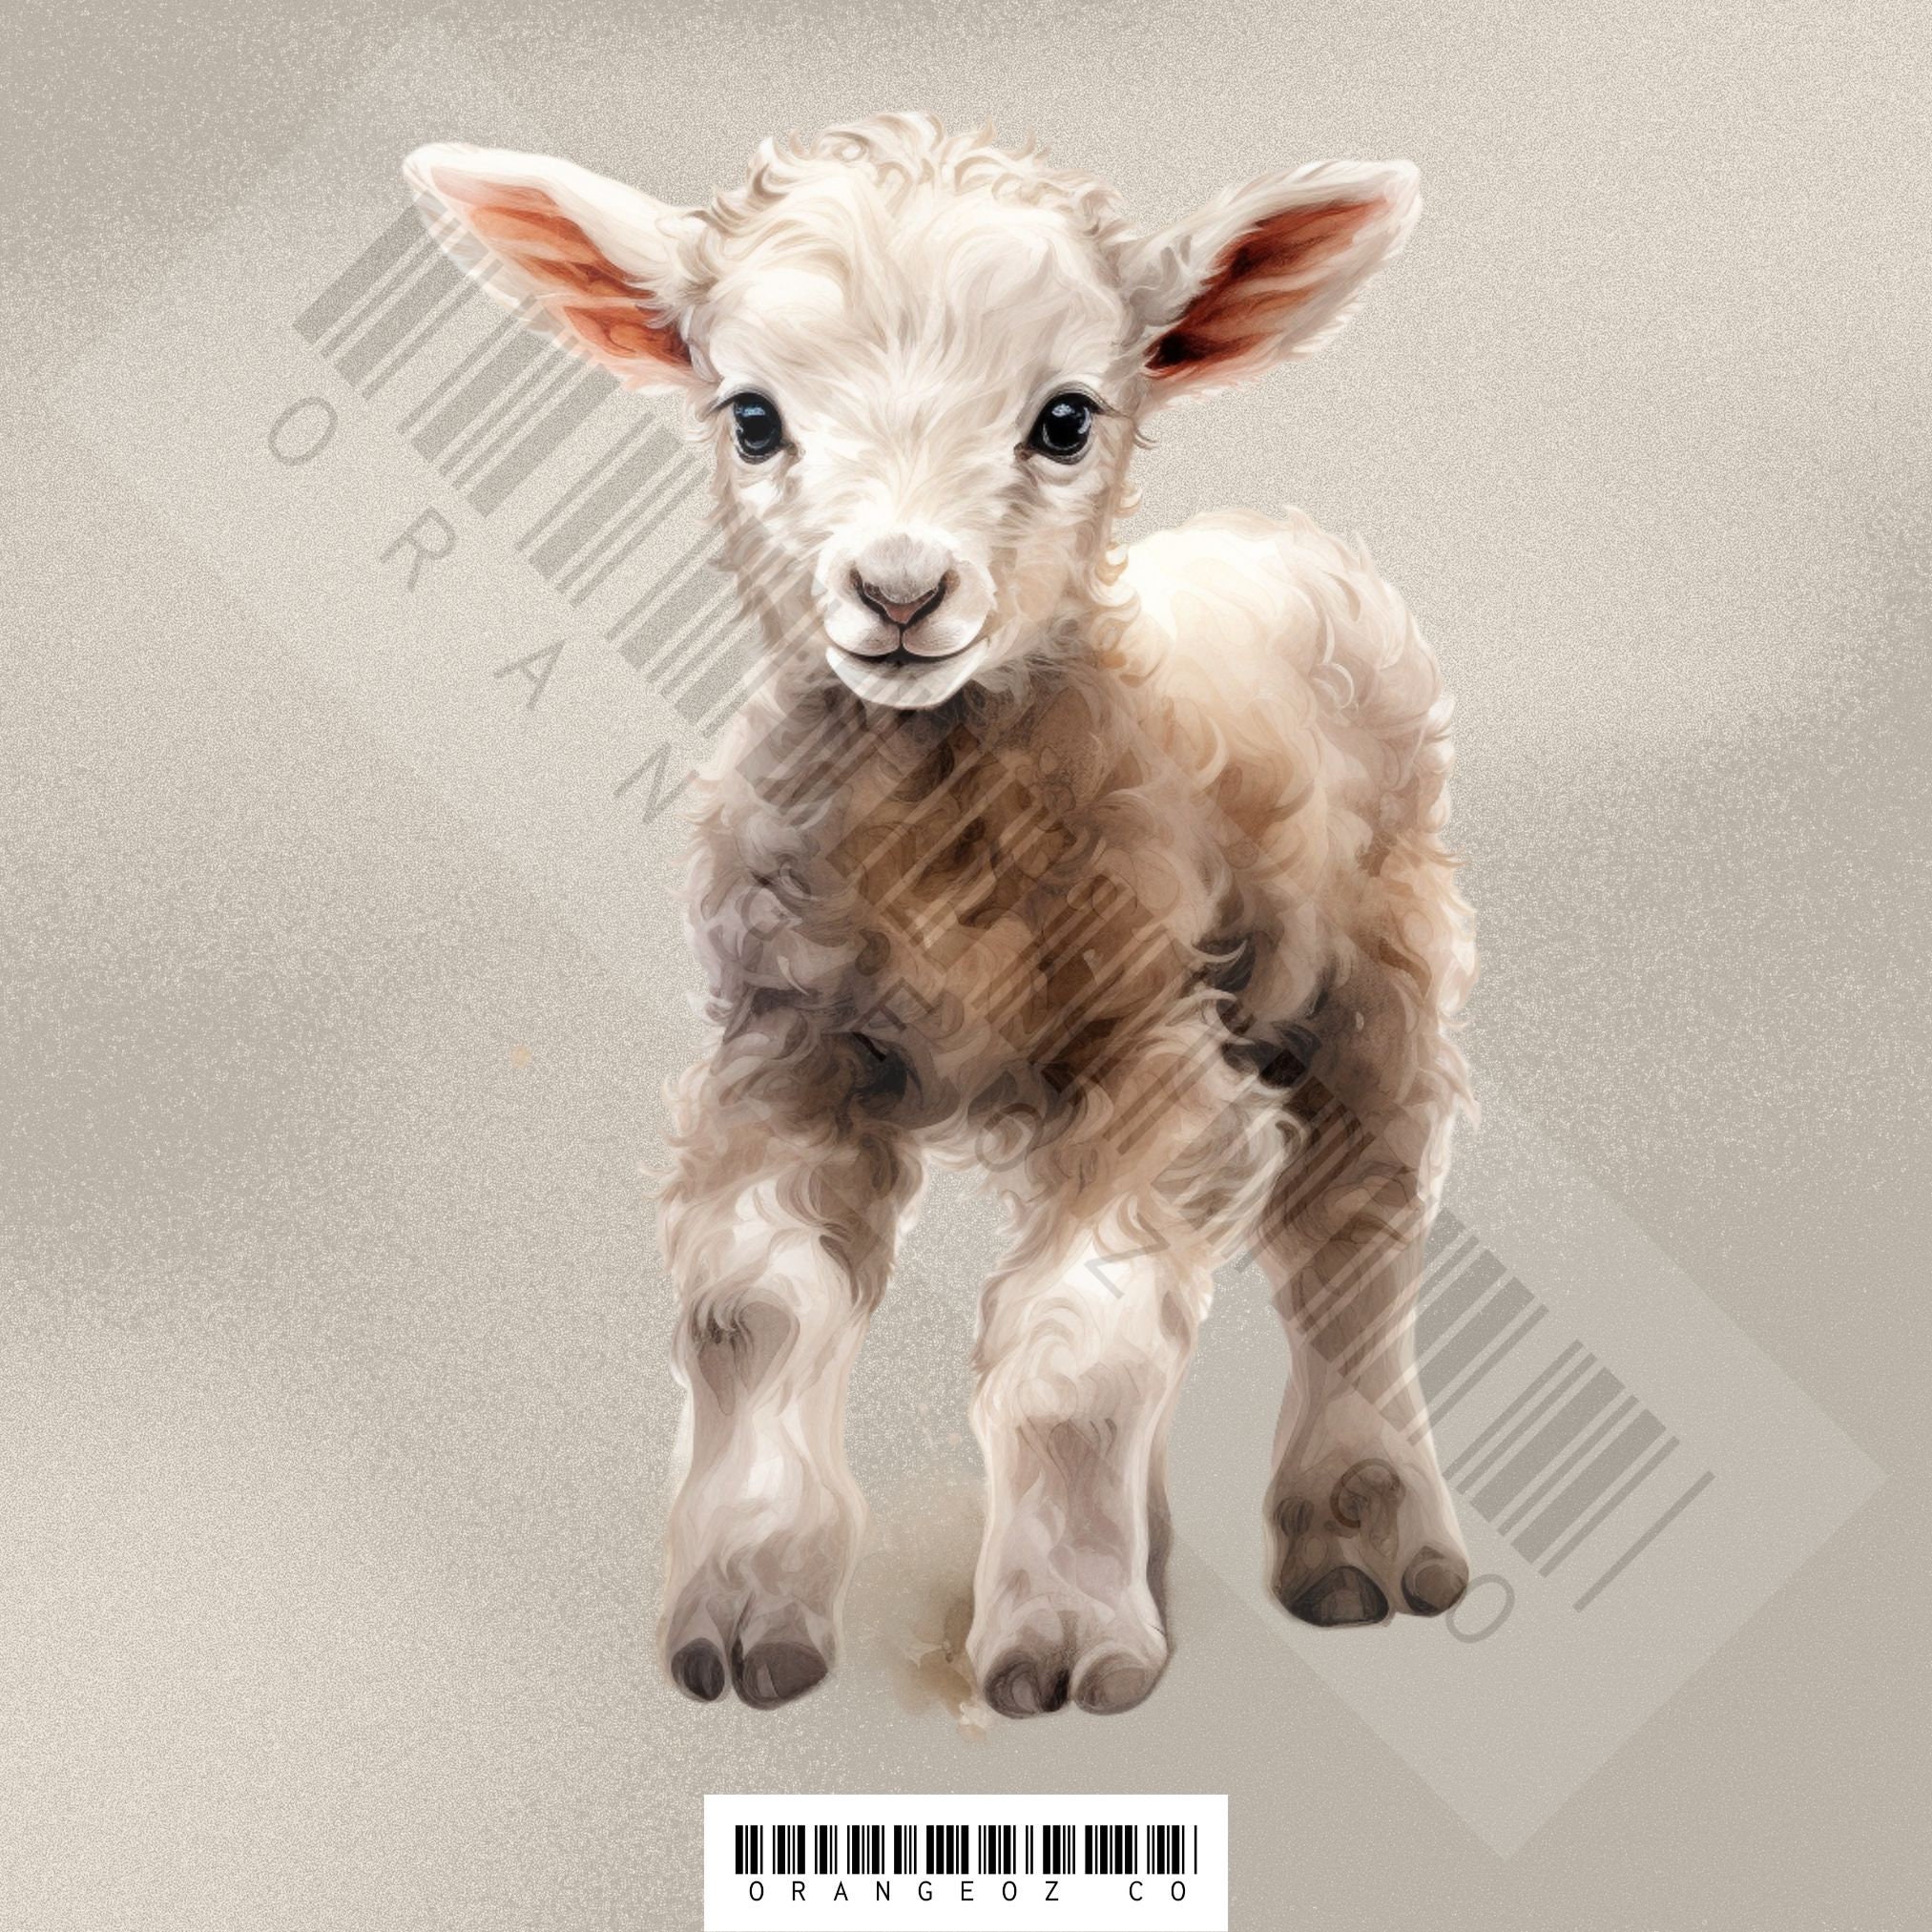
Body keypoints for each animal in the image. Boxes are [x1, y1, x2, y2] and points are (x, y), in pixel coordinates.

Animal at [406, 114, 1475, 1716]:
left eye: (1067, 419)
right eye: (752, 418)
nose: (899, 589)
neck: (942, 848)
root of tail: (1275, 534)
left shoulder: (1158, 1058)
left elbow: (1075, 1348)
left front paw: (1066, 1635)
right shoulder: (780, 1052)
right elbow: (755, 1313)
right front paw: (740, 1616)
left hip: (1376, 975)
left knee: (1354, 1242)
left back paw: (1365, 1537)